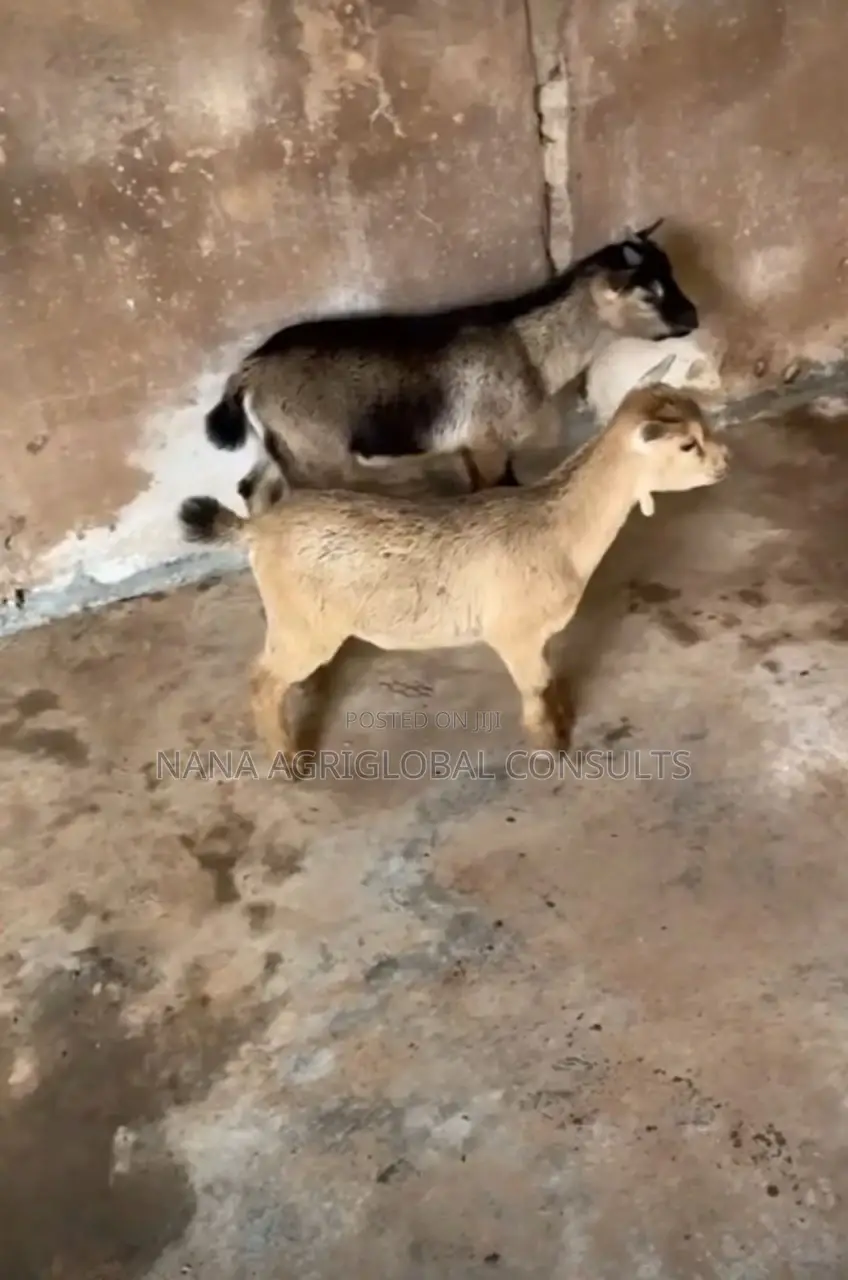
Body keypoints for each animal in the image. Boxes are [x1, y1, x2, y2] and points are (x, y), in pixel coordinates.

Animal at [178, 360, 729, 778]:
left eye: (703, 424)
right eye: (687, 445)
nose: (723, 462)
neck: (556, 527)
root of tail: (256, 529)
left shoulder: (537, 633)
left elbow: (548, 676)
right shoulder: (513, 632)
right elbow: (534, 686)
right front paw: (550, 747)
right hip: (302, 625)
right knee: (261, 681)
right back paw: (289, 762)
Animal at [206, 219, 700, 508]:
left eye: (673, 274)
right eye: (648, 293)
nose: (692, 318)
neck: (526, 346)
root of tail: (251, 369)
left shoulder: (468, 443)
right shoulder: (488, 438)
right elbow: (499, 490)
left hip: (280, 444)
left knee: (253, 488)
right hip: (315, 451)